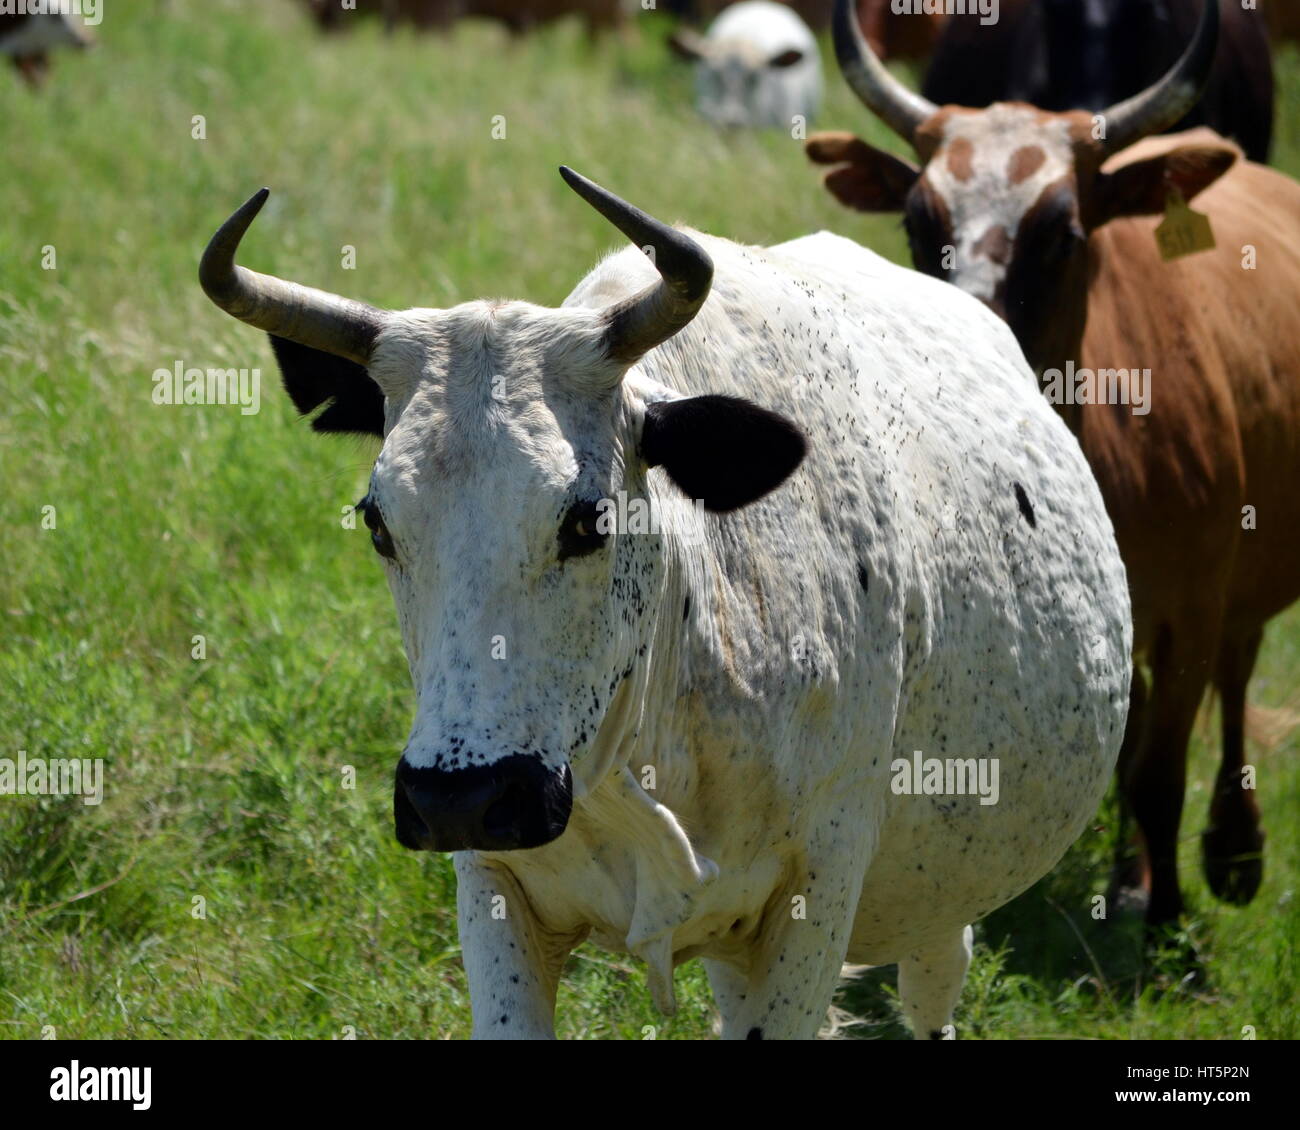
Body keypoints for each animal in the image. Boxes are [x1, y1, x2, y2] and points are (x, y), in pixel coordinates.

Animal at [198, 166, 1131, 1038]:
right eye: (377, 522)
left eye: (587, 518)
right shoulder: (493, 886)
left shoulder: (813, 908)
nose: (458, 800)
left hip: (933, 913)